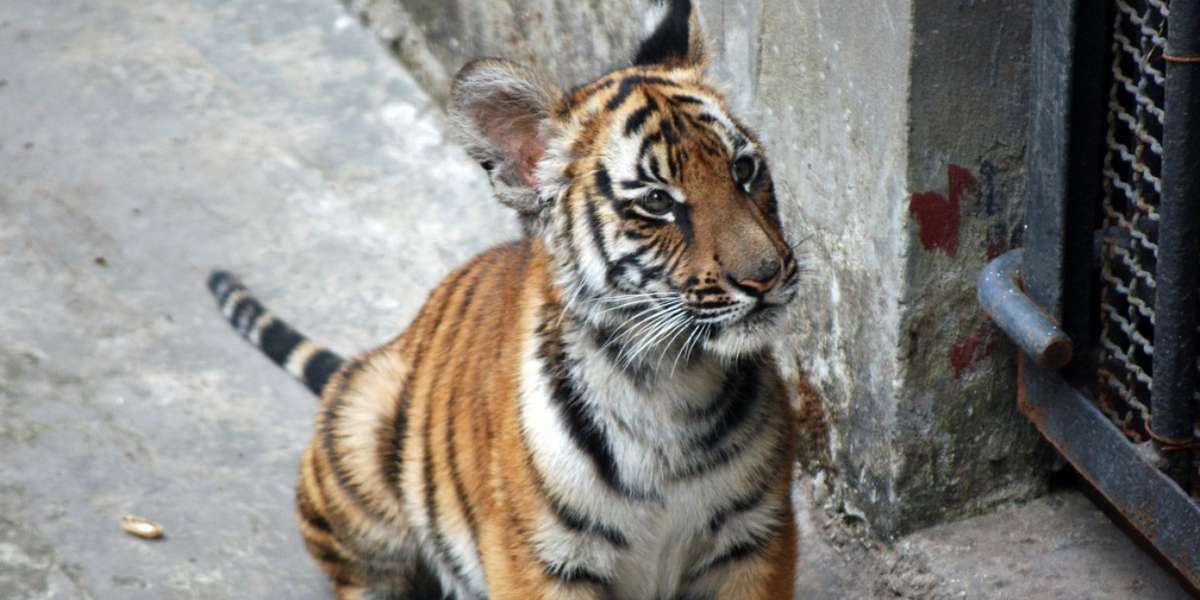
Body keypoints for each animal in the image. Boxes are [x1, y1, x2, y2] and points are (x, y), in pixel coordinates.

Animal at [207, 0, 804, 598]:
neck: (671, 388)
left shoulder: (756, 538)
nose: (767, 276)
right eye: (657, 202)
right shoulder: (541, 560)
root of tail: (394, 343)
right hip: (362, 436)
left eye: (743, 169)